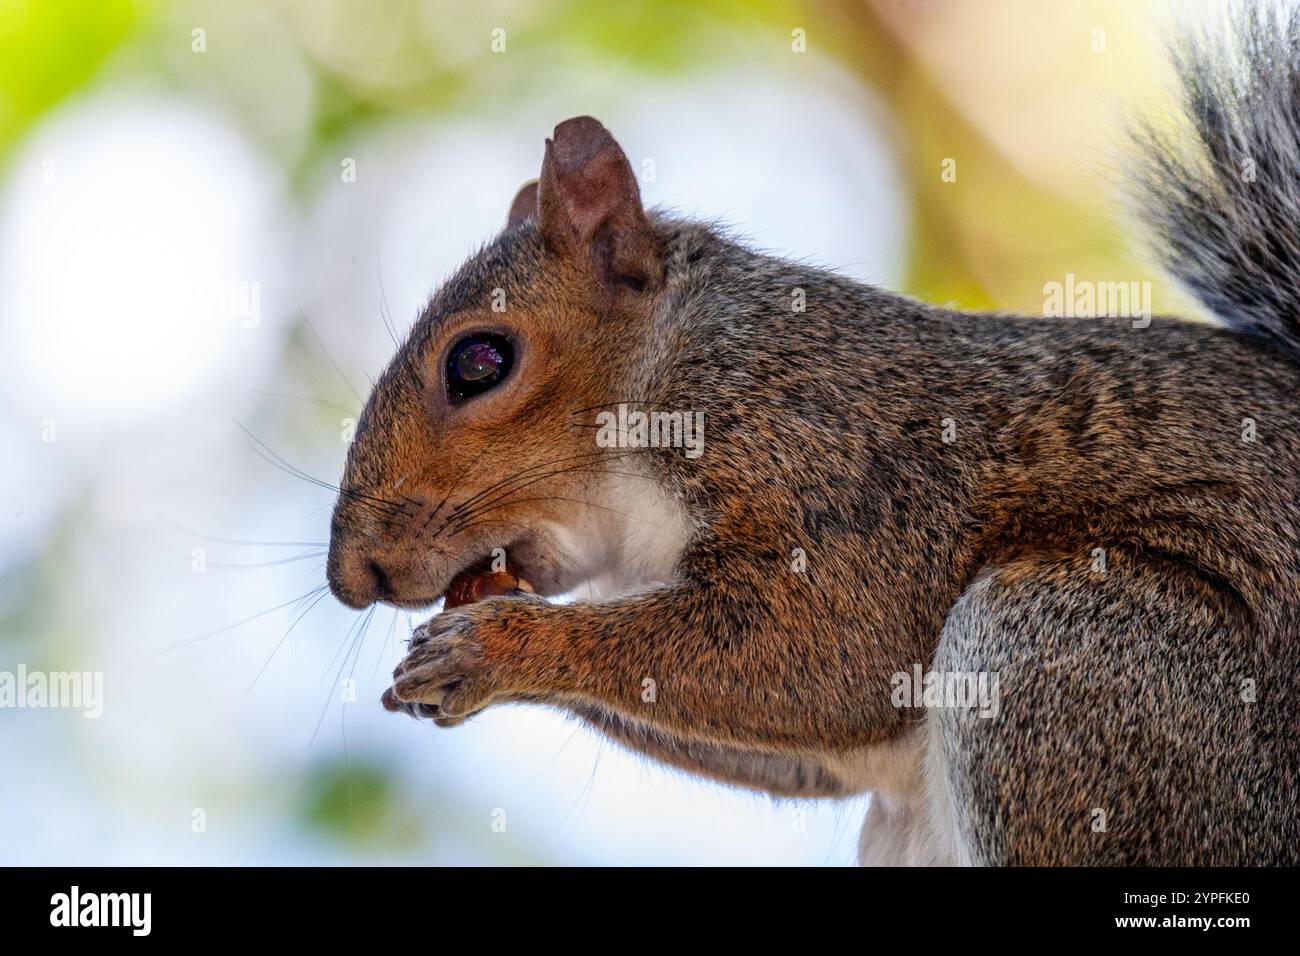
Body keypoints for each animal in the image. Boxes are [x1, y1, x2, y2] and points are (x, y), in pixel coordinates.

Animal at [325, 8, 1300, 865]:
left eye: (479, 361)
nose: (353, 576)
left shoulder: (843, 470)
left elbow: (828, 655)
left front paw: (496, 645)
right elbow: (803, 749)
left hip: (1075, 653)